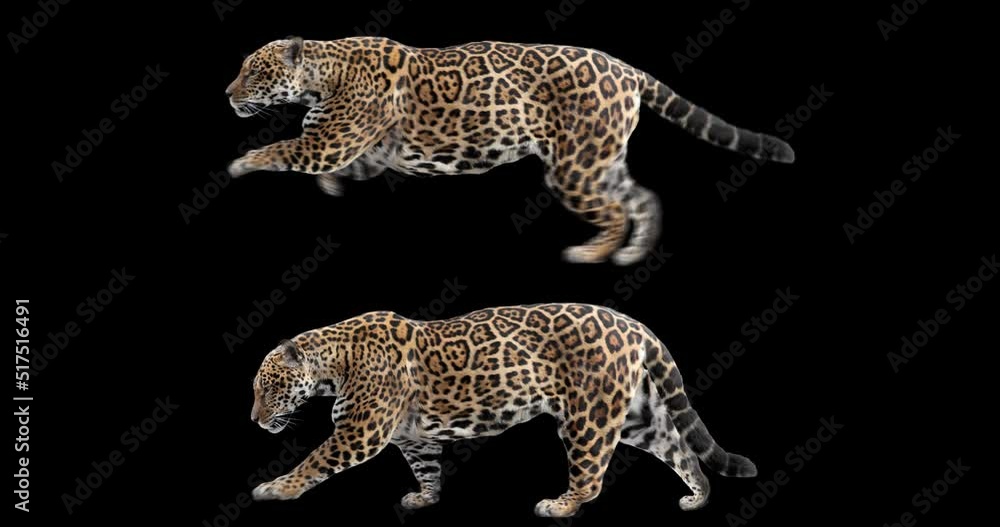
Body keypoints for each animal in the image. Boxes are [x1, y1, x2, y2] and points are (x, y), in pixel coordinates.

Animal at [225, 37, 795, 266]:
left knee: (614, 210)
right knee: (642, 198)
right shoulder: (366, 149)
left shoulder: (329, 141)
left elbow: (281, 148)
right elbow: (336, 164)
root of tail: (628, 69)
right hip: (599, 159)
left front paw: (239, 164)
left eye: (254, 71)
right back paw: (632, 253)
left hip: (574, 167)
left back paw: (592, 253)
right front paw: (331, 186)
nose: (227, 94)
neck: (323, 72)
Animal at [249, 303, 756, 517]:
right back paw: (698, 496)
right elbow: (426, 468)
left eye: (267, 387)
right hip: (633, 413)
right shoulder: (414, 437)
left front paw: (276, 488)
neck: (335, 360)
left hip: (587, 415)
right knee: (677, 446)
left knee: (590, 474)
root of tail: (634, 324)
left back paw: (560, 505)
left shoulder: (359, 432)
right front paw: (425, 498)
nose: (253, 420)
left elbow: (314, 460)